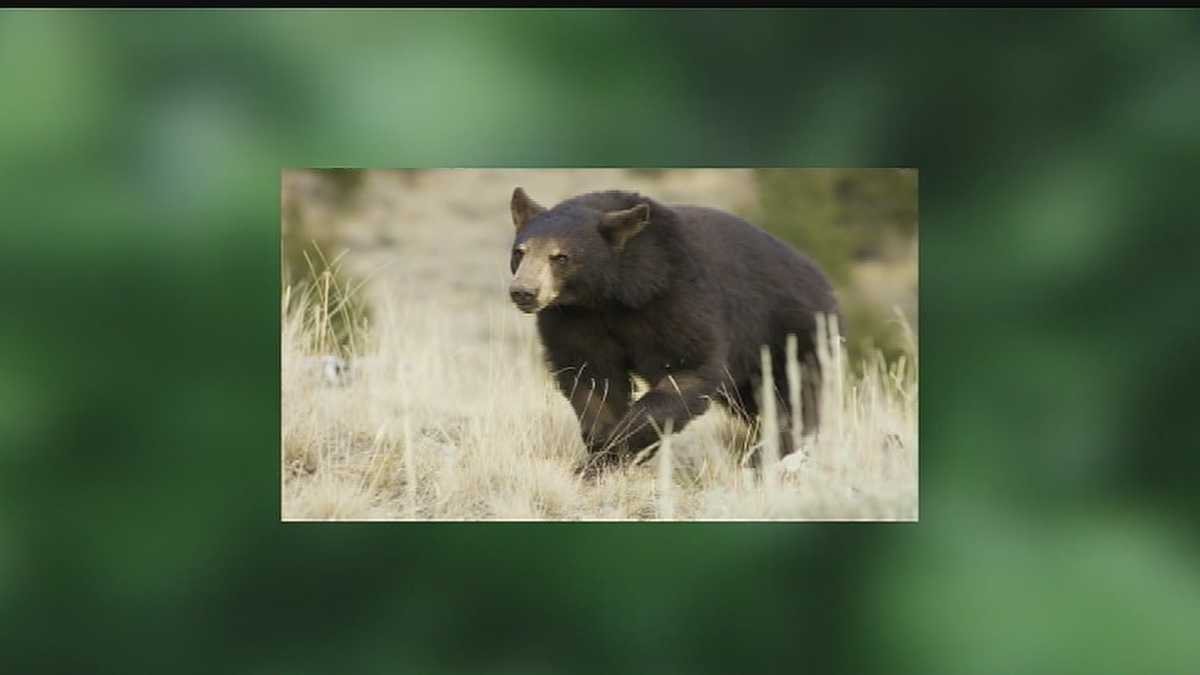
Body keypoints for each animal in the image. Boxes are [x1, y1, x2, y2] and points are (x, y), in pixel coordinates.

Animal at [507, 186, 841, 478]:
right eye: (520, 252)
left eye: (560, 256)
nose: (524, 292)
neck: (614, 294)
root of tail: (825, 283)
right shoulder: (573, 319)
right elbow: (591, 379)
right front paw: (601, 455)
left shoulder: (676, 299)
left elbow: (688, 369)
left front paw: (625, 444)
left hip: (789, 337)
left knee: (792, 398)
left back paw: (777, 453)